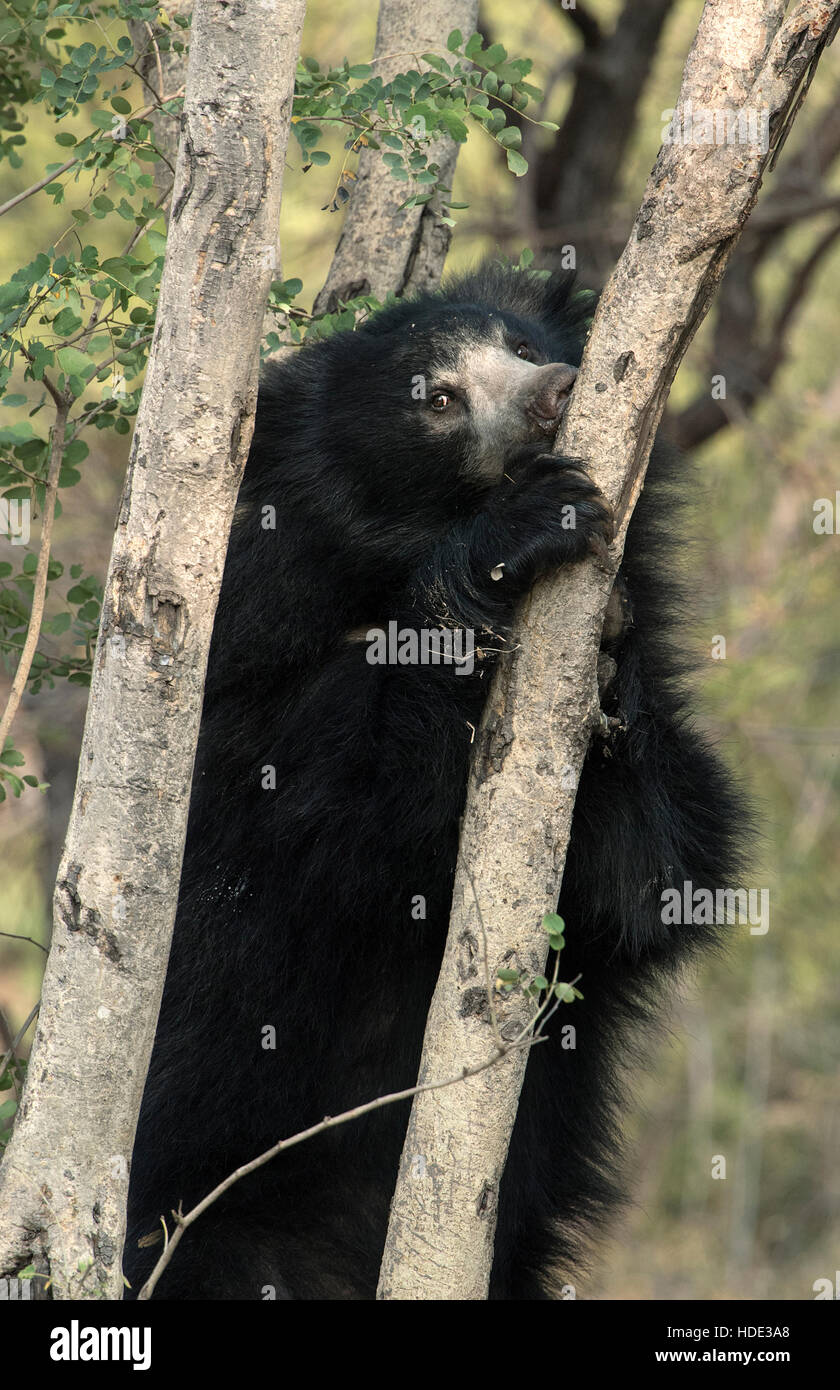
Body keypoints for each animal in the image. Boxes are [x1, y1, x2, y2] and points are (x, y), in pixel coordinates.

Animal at [123, 260, 744, 1300]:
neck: (381, 561)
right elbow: (345, 815)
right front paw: (512, 539)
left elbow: (656, 878)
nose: (554, 393)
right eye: (439, 402)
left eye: (523, 346)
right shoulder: (250, 707)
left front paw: (610, 648)